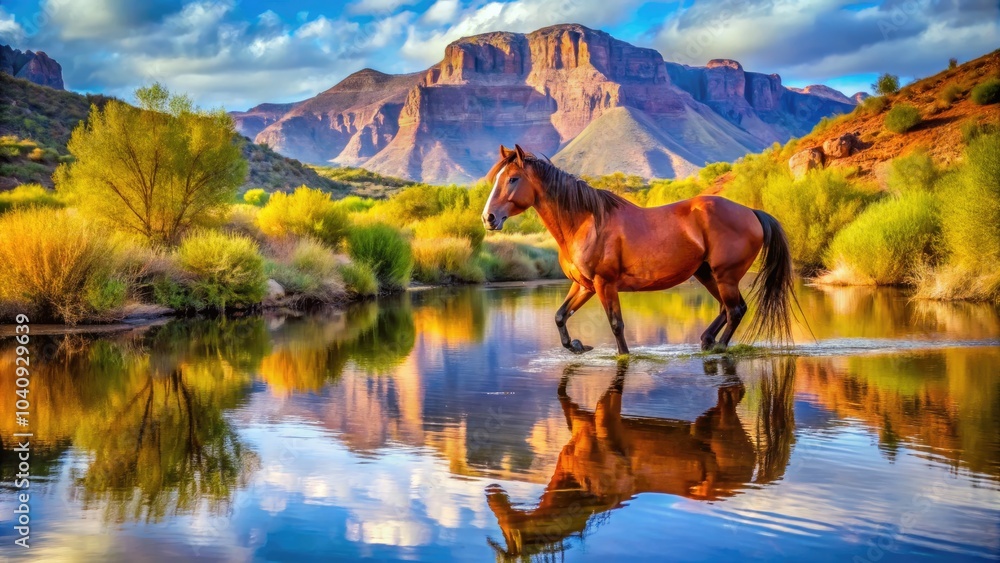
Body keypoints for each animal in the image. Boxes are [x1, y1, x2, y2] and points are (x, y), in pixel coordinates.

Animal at [482, 144, 797, 354]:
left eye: (513, 179)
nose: (488, 218)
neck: (585, 223)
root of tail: (751, 212)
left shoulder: (605, 284)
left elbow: (616, 325)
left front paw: (622, 357)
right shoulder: (583, 285)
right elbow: (560, 316)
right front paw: (577, 345)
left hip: (725, 276)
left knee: (735, 309)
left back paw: (718, 346)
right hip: (707, 274)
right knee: (727, 308)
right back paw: (707, 341)